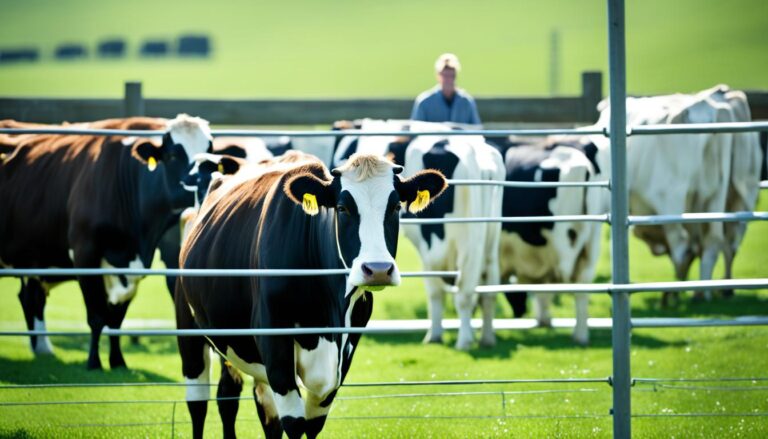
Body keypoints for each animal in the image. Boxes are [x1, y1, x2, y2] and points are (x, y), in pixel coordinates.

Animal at [0, 115, 212, 369]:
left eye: (210, 152)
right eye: (172, 155)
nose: (203, 185)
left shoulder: (133, 266)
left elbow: (116, 319)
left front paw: (117, 361)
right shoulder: (85, 255)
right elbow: (97, 315)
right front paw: (94, 363)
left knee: (31, 297)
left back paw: (43, 350)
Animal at [176, 152, 447, 438]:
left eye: (395, 207)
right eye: (342, 208)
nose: (378, 270)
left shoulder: (343, 355)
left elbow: (313, 423)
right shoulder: (275, 345)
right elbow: (295, 423)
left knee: (242, 402)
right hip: (189, 327)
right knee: (199, 402)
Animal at [333, 119, 505, 350]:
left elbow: (436, 290)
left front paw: (436, 336)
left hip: (460, 244)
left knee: (461, 291)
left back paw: (462, 340)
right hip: (489, 240)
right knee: (487, 288)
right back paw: (486, 338)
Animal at [589, 85, 763, 305]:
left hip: (670, 200)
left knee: (684, 246)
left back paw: (672, 295)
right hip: (737, 194)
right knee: (725, 241)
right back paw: (713, 290)